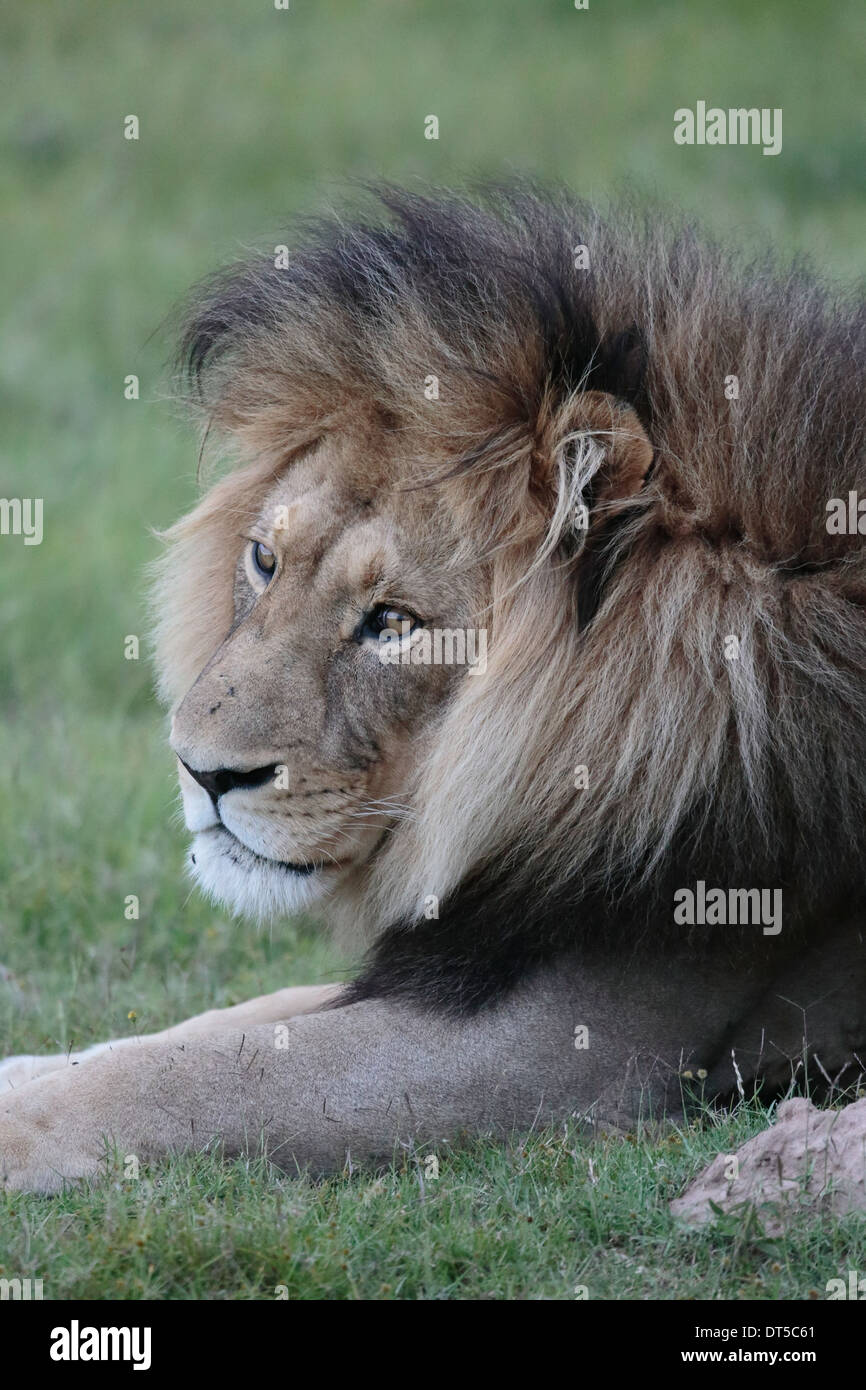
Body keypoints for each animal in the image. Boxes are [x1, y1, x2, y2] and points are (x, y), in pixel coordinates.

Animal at [2, 186, 866, 1192]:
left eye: (392, 623)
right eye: (264, 560)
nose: (201, 772)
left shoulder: (553, 1049)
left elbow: (194, 1077)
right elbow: (219, 1022)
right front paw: (21, 1065)